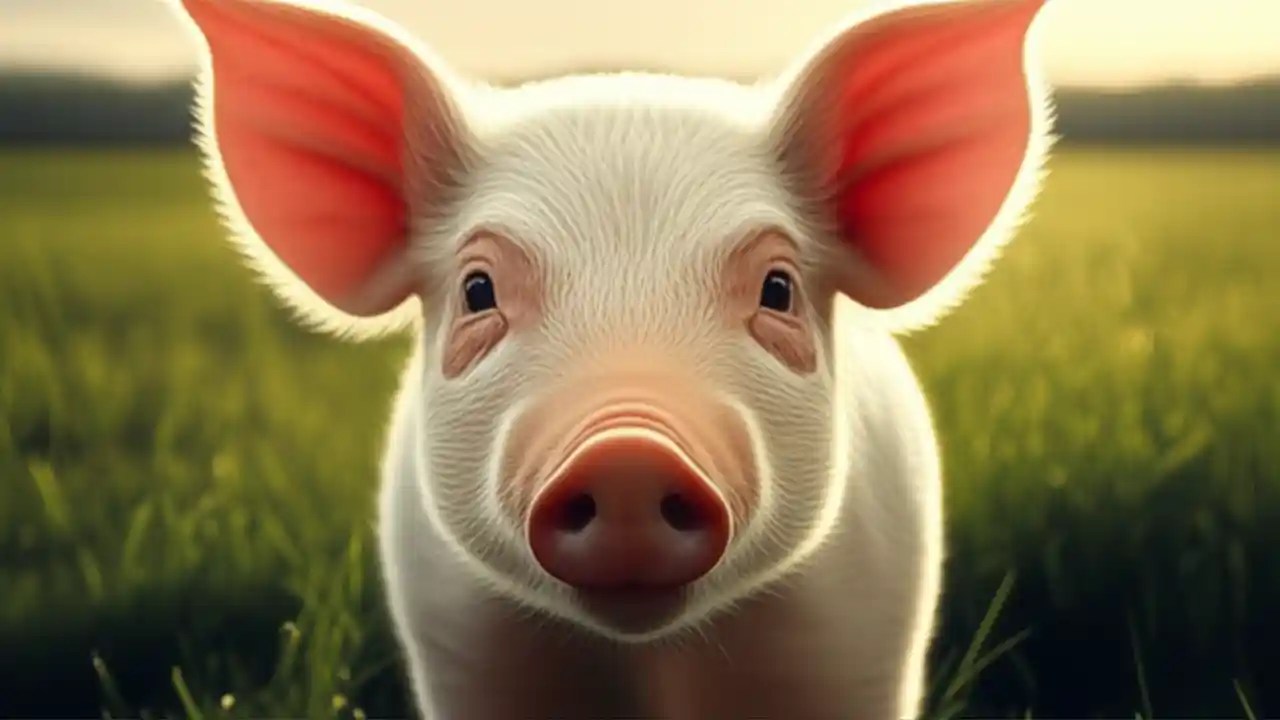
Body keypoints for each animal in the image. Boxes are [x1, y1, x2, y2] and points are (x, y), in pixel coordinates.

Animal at [170, 0, 1055, 716]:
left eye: (777, 289)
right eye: (479, 290)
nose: (628, 448)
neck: (649, 659)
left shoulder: (863, 644)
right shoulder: (461, 652)